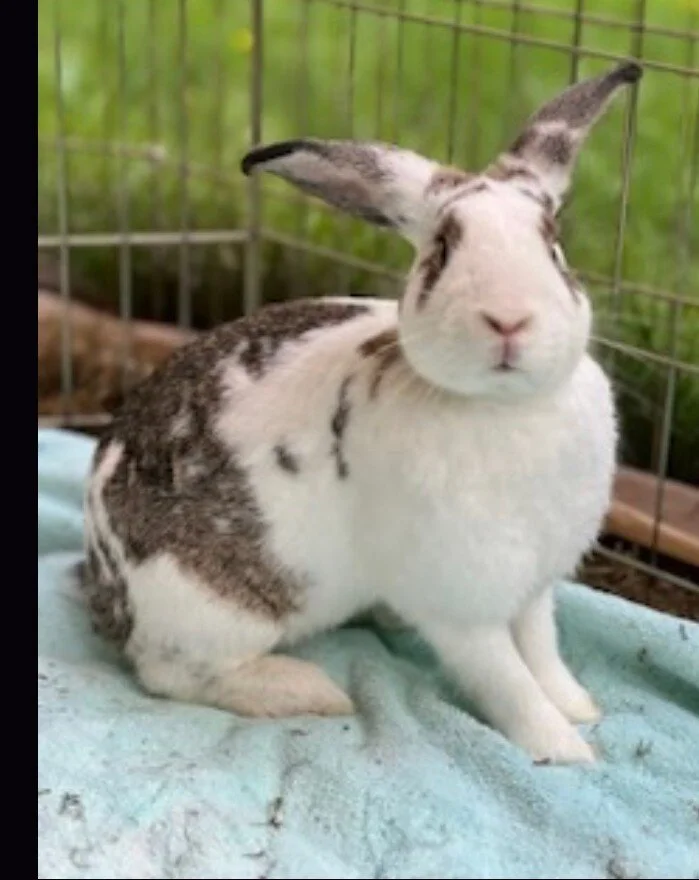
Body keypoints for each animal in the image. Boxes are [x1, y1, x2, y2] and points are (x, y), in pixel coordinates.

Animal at [80, 62, 642, 764]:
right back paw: (308, 691)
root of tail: (103, 581)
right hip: (211, 609)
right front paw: (564, 752)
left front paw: (580, 709)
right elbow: (505, 679)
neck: (505, 407)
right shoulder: (461, 605)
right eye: (440, 253)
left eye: (554, 247)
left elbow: (542, 651)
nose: (509, 318)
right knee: (172, 672)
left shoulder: (533, 588)